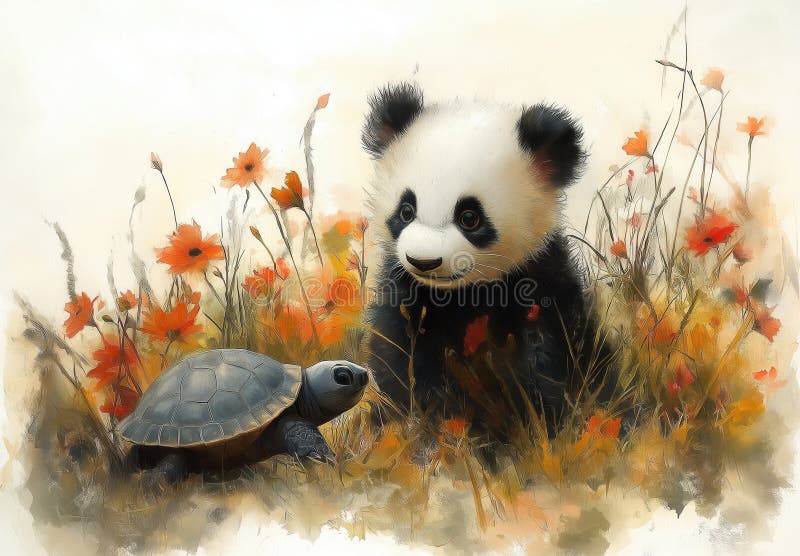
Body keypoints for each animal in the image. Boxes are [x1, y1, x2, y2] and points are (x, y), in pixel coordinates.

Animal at [361, 83, 616, 439]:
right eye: (406, 210)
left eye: (469, 217)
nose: (423, 261)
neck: (463, 293)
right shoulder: (405, 289)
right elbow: (399, 352)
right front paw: (430, 417)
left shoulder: (538, 278)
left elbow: (546, 357)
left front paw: (528, 426)